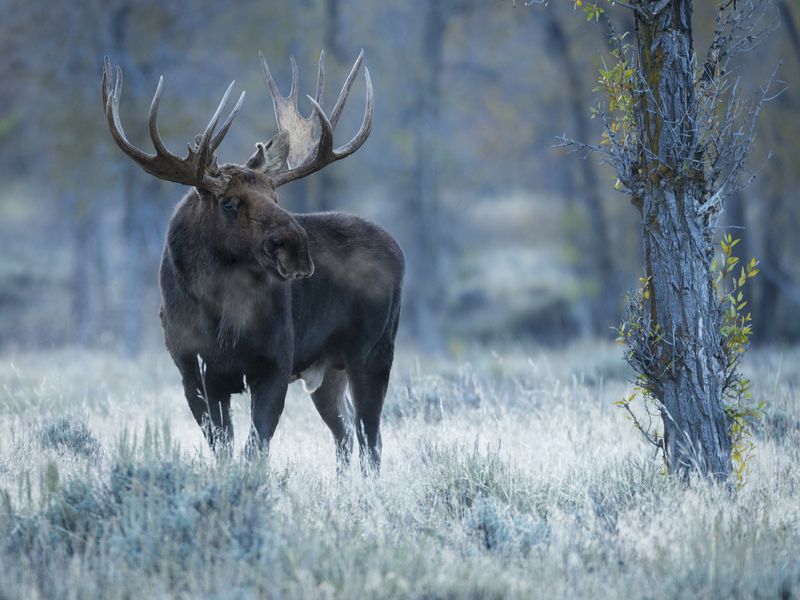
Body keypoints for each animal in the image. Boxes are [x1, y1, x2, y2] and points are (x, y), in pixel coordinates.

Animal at [101, 50, 404, 473]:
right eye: (229, 202)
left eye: (276, 197)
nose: (297, 247)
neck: (221, 315)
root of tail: (398, 249)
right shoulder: (193, 373)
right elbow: (224, 448)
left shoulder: (275, 364)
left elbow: (255, 447)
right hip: (328, 372)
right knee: (344, 433)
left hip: (373, 352)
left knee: (370, 438)